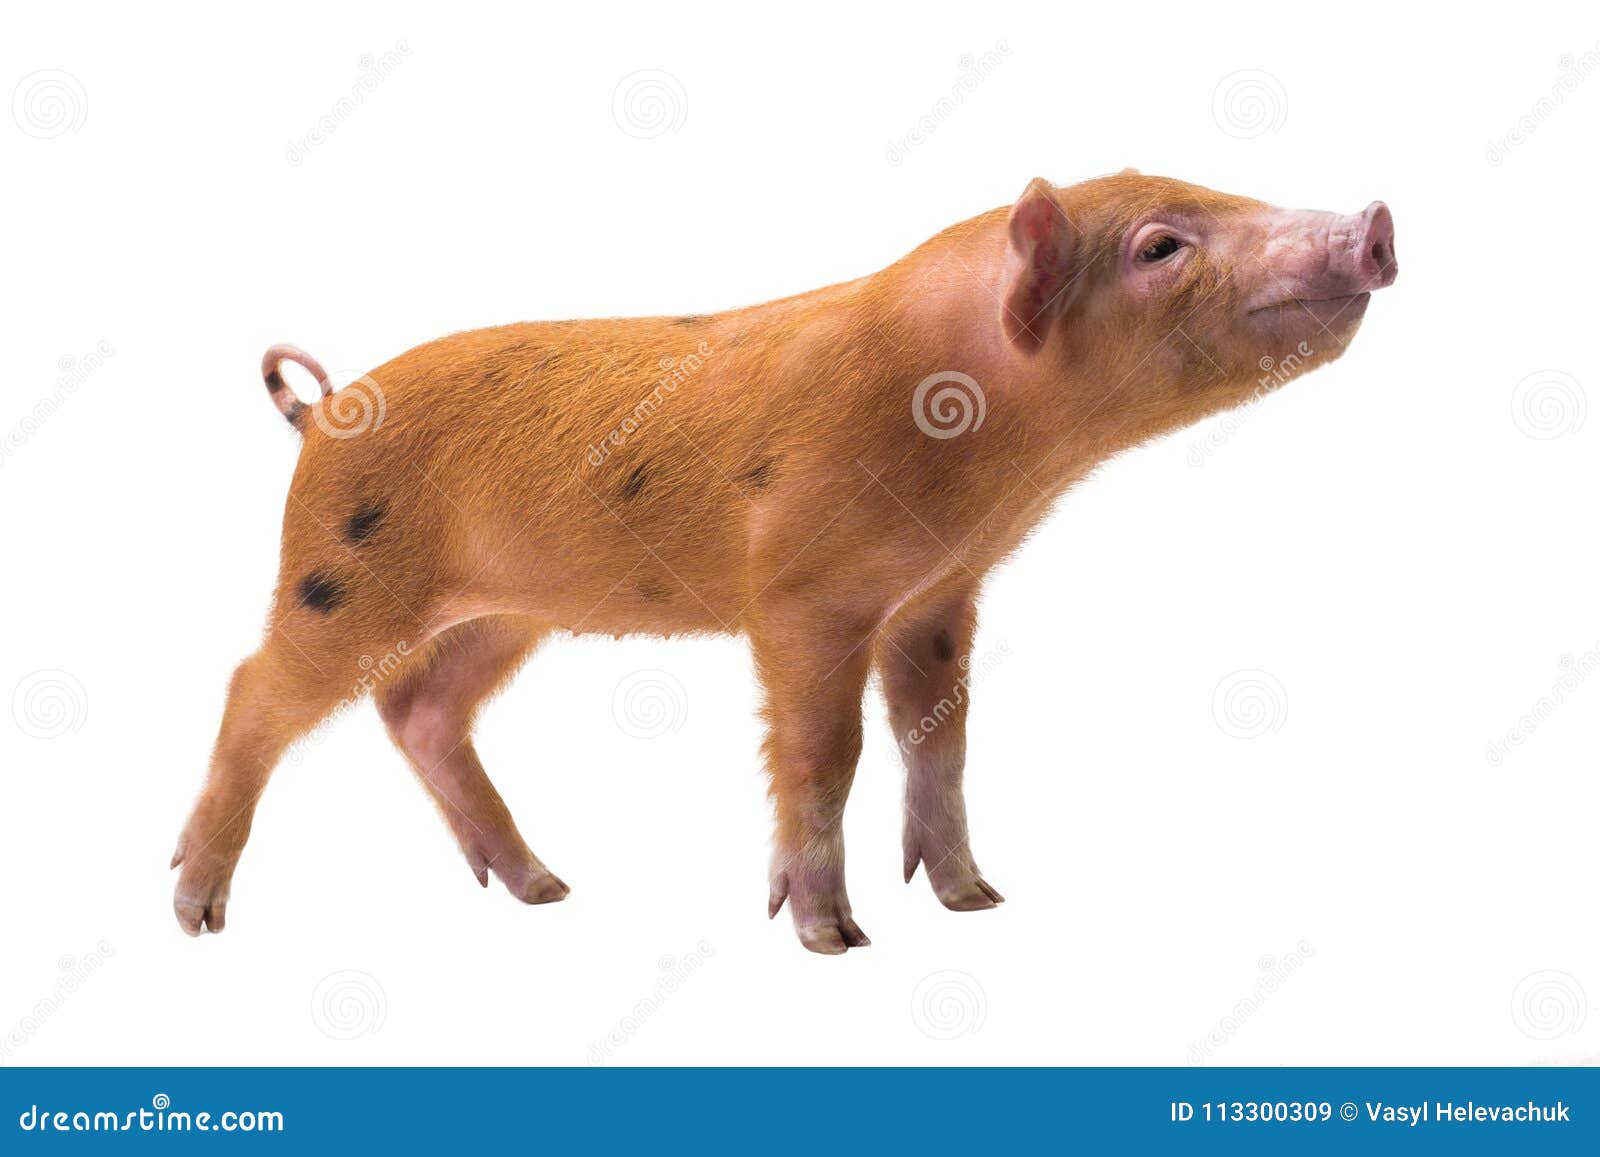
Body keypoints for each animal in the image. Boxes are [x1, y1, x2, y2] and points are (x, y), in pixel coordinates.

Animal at [172, 170, 1397, 953]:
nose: (1377, 220)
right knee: (253, 691)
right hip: (336, 575)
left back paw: (548, 890)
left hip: (502, 612)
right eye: (1158, 247)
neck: (989, 435)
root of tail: (322, 411)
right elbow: (825, 753)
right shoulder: (804, 596)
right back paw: (198, 912)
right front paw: (835, 938)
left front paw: (979, 902)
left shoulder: (939, 593)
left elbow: (941, 740)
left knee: (422, 707)